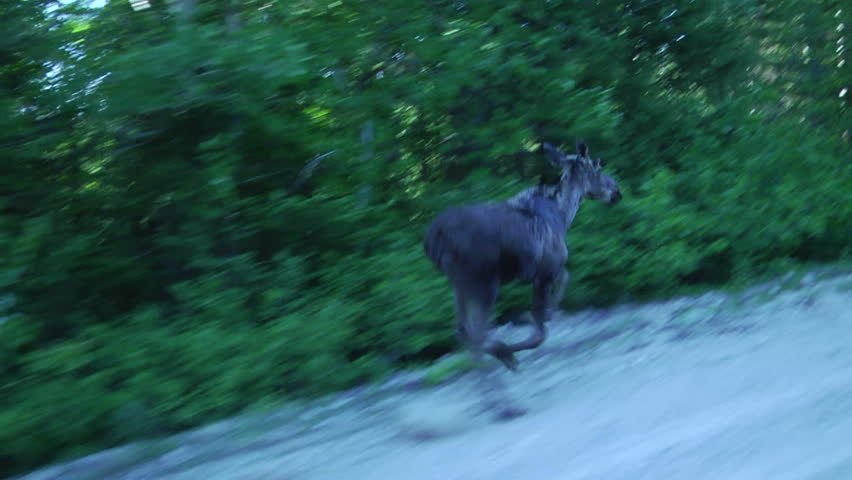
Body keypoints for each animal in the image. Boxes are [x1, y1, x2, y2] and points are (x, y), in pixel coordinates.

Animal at [423, 141, 622, 418]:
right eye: (598, 167)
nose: (616, 190)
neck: (564, 214)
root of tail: (433, 239)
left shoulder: (544, 272)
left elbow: (559, 290)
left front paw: (523, 329)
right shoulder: (544, 272)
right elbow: (540, 333)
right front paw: (513, 346)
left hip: (459, 285)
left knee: (463, 330)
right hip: (484, 283)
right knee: (475, 335)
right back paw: (503, 401)